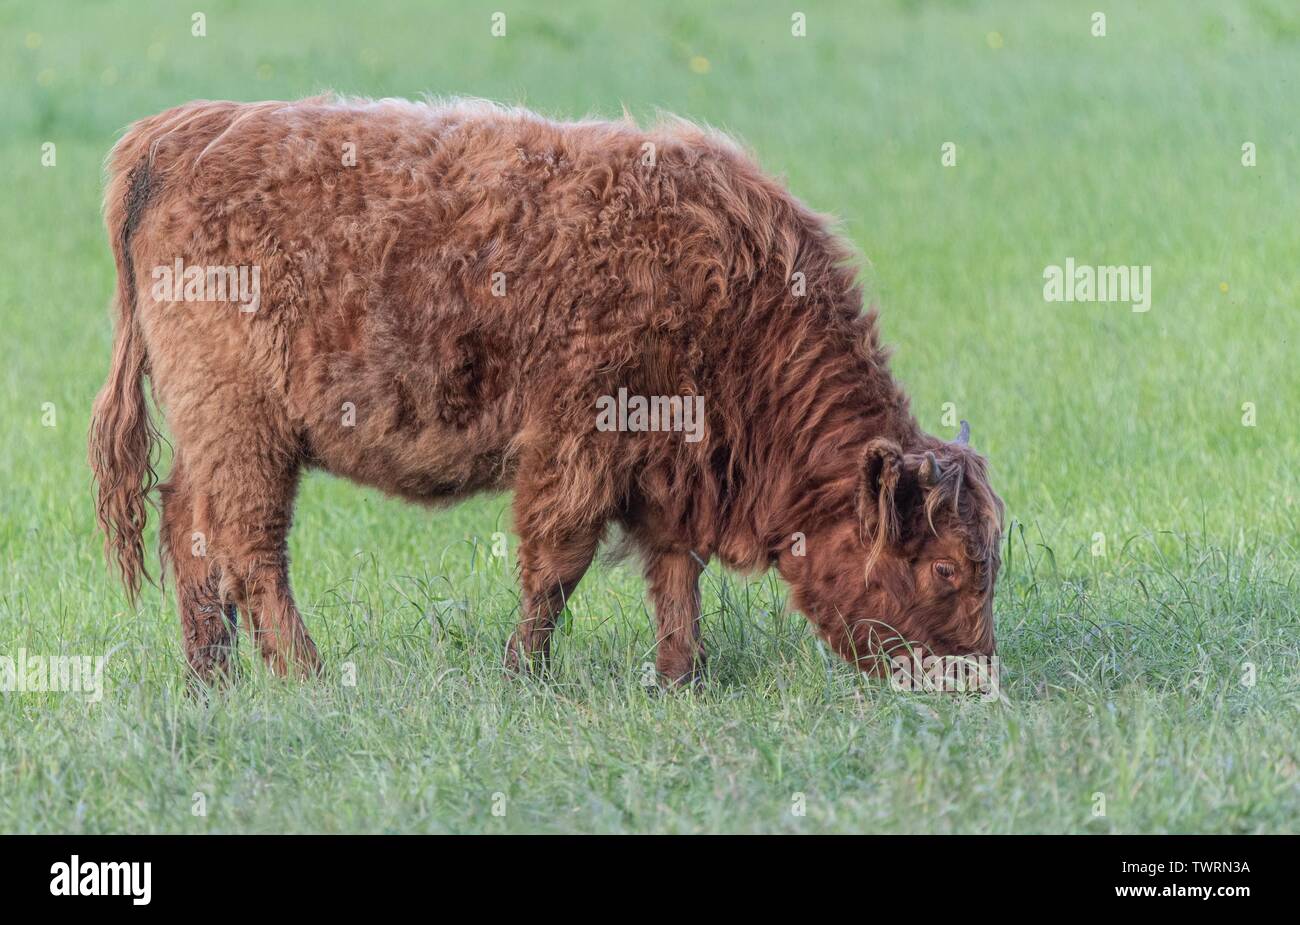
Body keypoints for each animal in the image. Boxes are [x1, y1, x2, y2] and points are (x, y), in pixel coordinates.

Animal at [89, 96, 1003, 686]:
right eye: (947, 568)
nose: (976, 679)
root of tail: (175, 132)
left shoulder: (669, 463)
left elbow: (675, 569)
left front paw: (681, 675)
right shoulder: (579, 440)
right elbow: (557, 566)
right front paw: (524, 673)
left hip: (216, 429)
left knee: (190, 524)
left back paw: (212, 675)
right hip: (245, 423)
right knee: (249, 545)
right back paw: (304, 674)